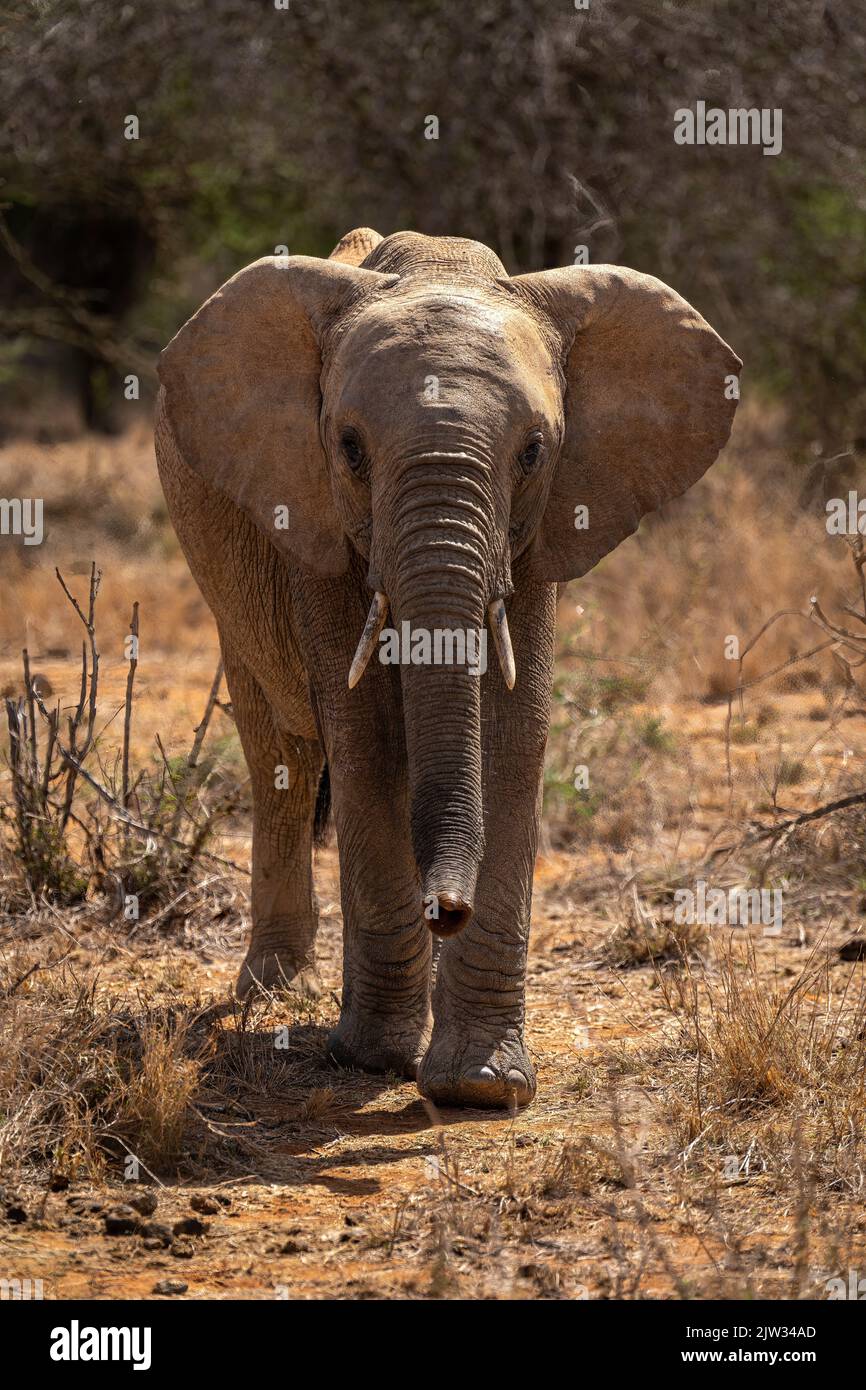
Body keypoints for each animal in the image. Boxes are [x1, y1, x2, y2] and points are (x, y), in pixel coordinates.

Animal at [155, 227, 740, 1108]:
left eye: (533, 451)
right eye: (349, 448)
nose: (447, 910)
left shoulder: (539, 529)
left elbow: (514, 732)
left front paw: (481, 1084)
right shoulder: (316, 511)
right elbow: (363, 737)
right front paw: (373, 1058)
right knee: (280, 749)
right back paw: (276, 988)